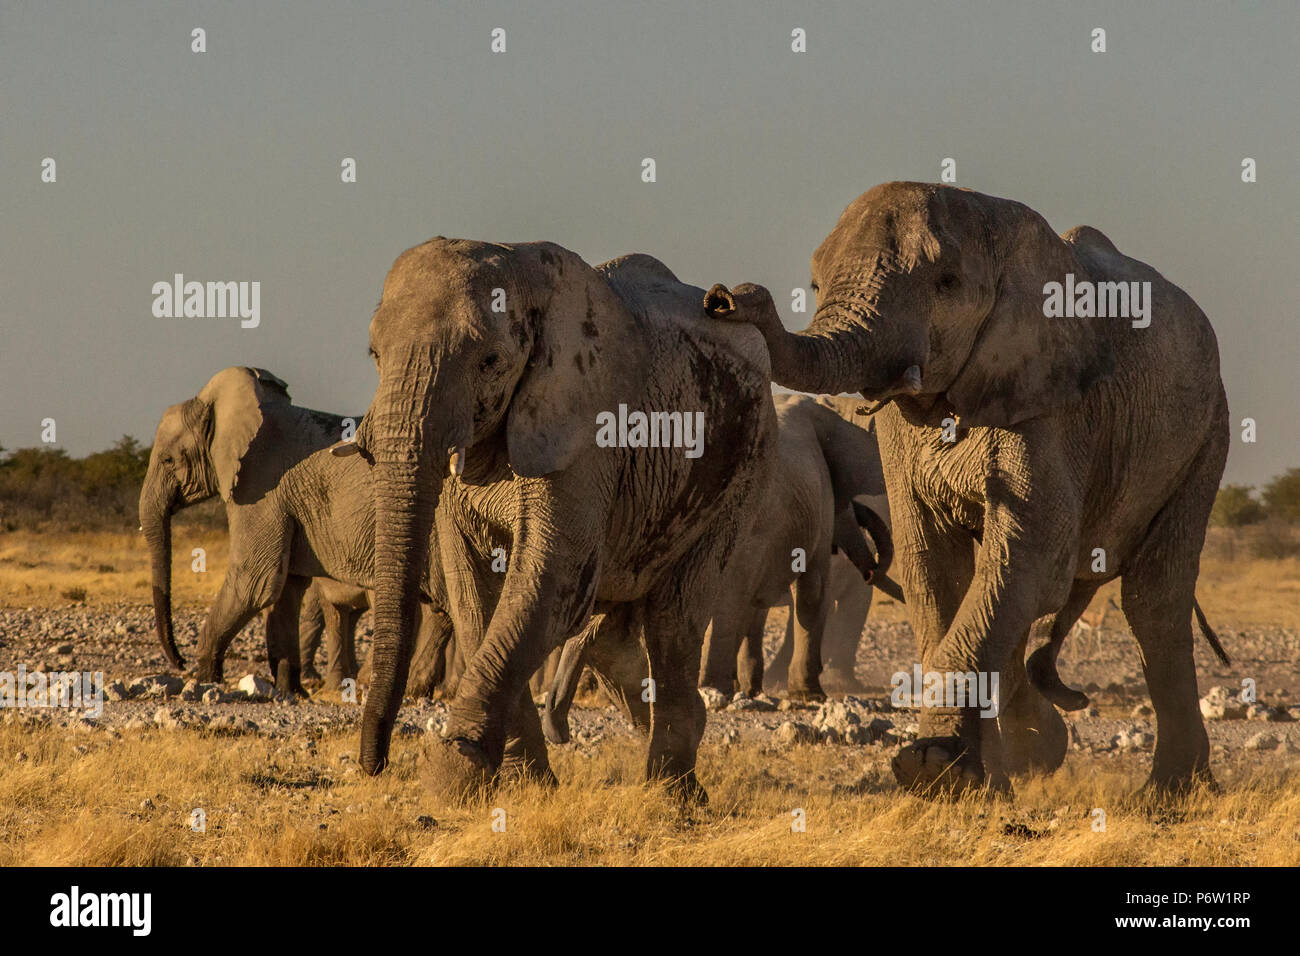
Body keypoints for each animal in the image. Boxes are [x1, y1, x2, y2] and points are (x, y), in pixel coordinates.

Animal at [344, 239, 774, 803]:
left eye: (490, 362)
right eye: (374, 355)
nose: (374, 766)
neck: (520, 266)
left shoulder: (587, 427)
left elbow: (552, 581)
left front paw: (451, 778)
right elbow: (473, 593)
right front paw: (525, 784)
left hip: (744, 468)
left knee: (675, 618)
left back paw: (672, 794)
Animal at [707, 181, 1230, 796]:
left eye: (947, 283)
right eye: (814, 286)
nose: (726, 298)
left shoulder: (1052, 405)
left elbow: (1032, 559)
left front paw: (938, 766)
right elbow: (937, 568)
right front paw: (993, 769)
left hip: (1206, 437)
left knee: (1153, 599)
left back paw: (1167, 793)